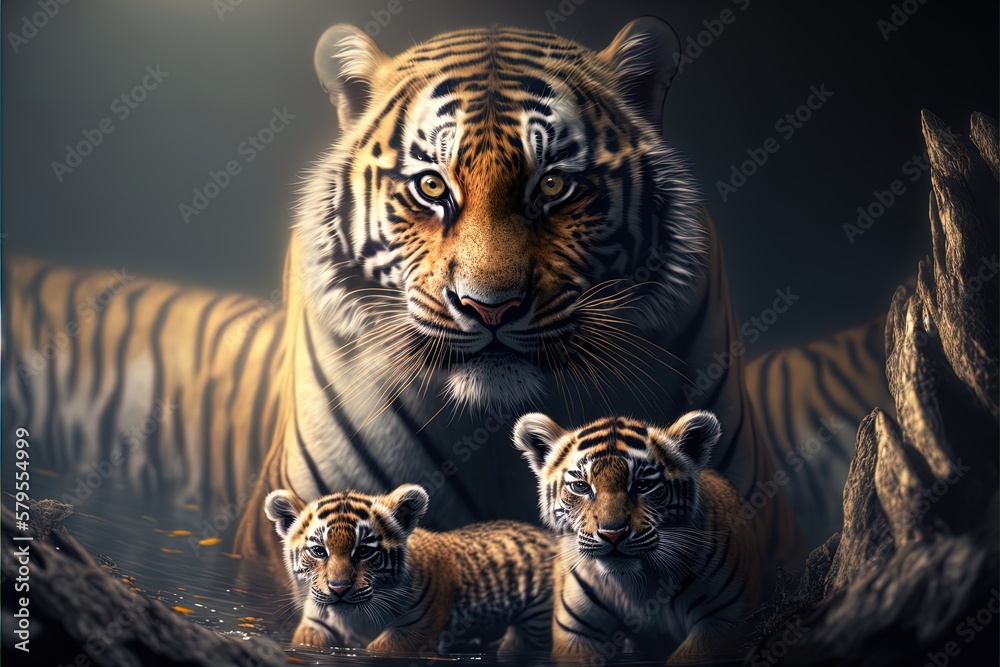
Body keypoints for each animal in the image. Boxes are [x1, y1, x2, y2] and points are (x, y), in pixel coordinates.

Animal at [264, 484, 553, 655]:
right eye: (318, 551)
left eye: (364, 551)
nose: (339, 588)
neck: (354, 618)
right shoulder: (316, 623)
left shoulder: (417, 626)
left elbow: (380, 649)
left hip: (536, 623)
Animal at [513, 410, 762, 664]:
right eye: (581, 487)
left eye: (643, 485)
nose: (612, 534)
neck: (635, 587)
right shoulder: (576, 631)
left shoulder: (721, 620)